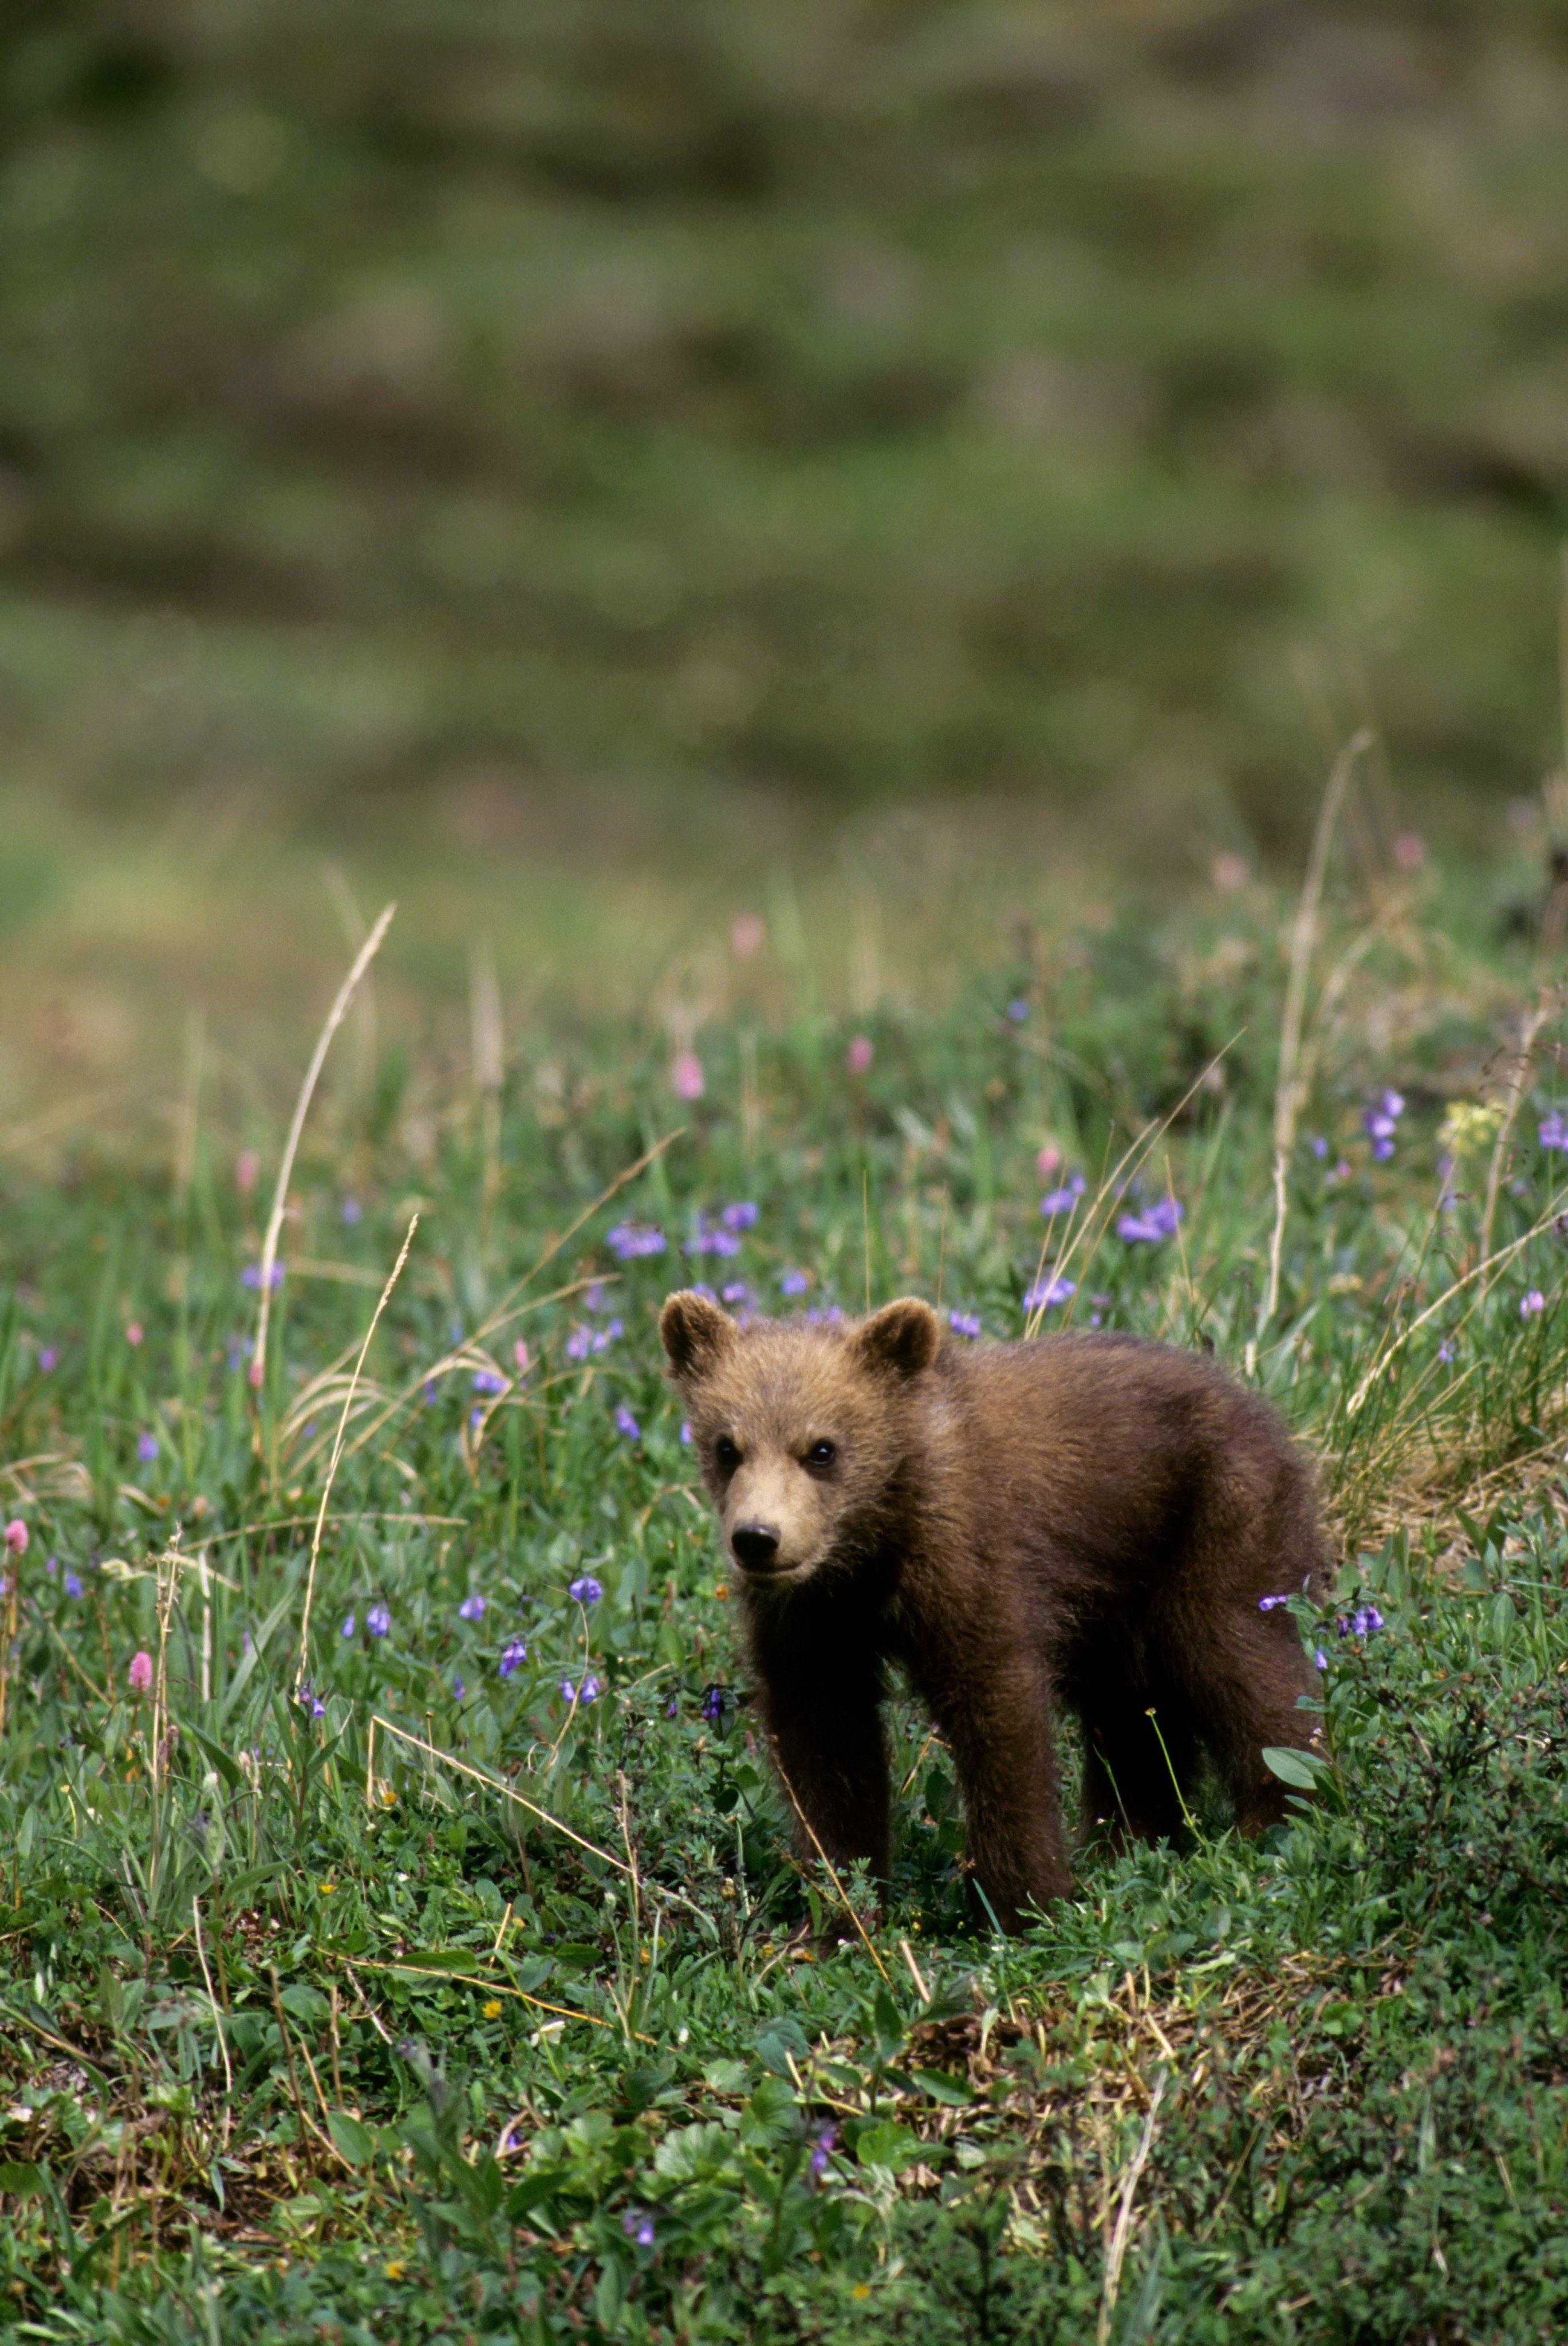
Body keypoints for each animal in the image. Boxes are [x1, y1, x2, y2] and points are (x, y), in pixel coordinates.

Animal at [659, 1290, 1329, 1932]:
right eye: (726, 1446)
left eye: (822, 1449)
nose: (758, 1538)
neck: (874, 1545)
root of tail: (1260, 1409)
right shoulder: (814, 1615)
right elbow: (826, 1743)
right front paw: (836, 1911)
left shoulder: (968, 1561)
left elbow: (998, 1718)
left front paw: (1022, 1903)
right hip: (1115, 1592)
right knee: (1132, 1715)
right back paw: (1126, 1842)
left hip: (1217, 1521)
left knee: (1238, 1662)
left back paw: (1279, 1815)